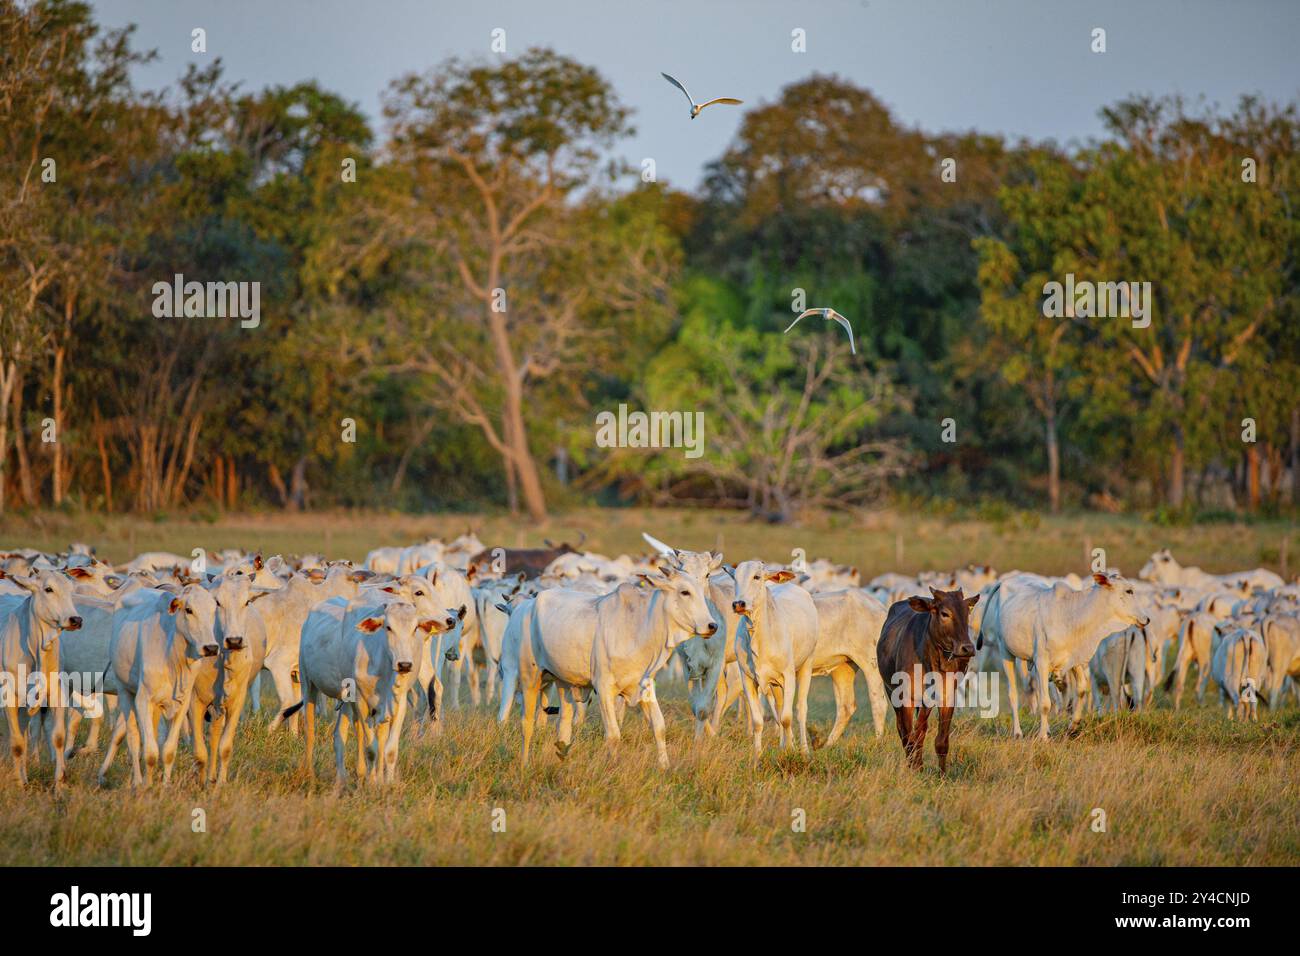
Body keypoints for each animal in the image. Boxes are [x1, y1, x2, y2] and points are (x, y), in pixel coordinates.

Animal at [877, 587, 978, 772]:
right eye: (945, 613)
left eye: (967, 612)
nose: (967, 648)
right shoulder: (906, 698)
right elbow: (909, 738)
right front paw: (914, 769)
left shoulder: (945, 698)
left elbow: (940, 741)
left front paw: (942, 774)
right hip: (892, 692)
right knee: (904, 732)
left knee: (920, 732)